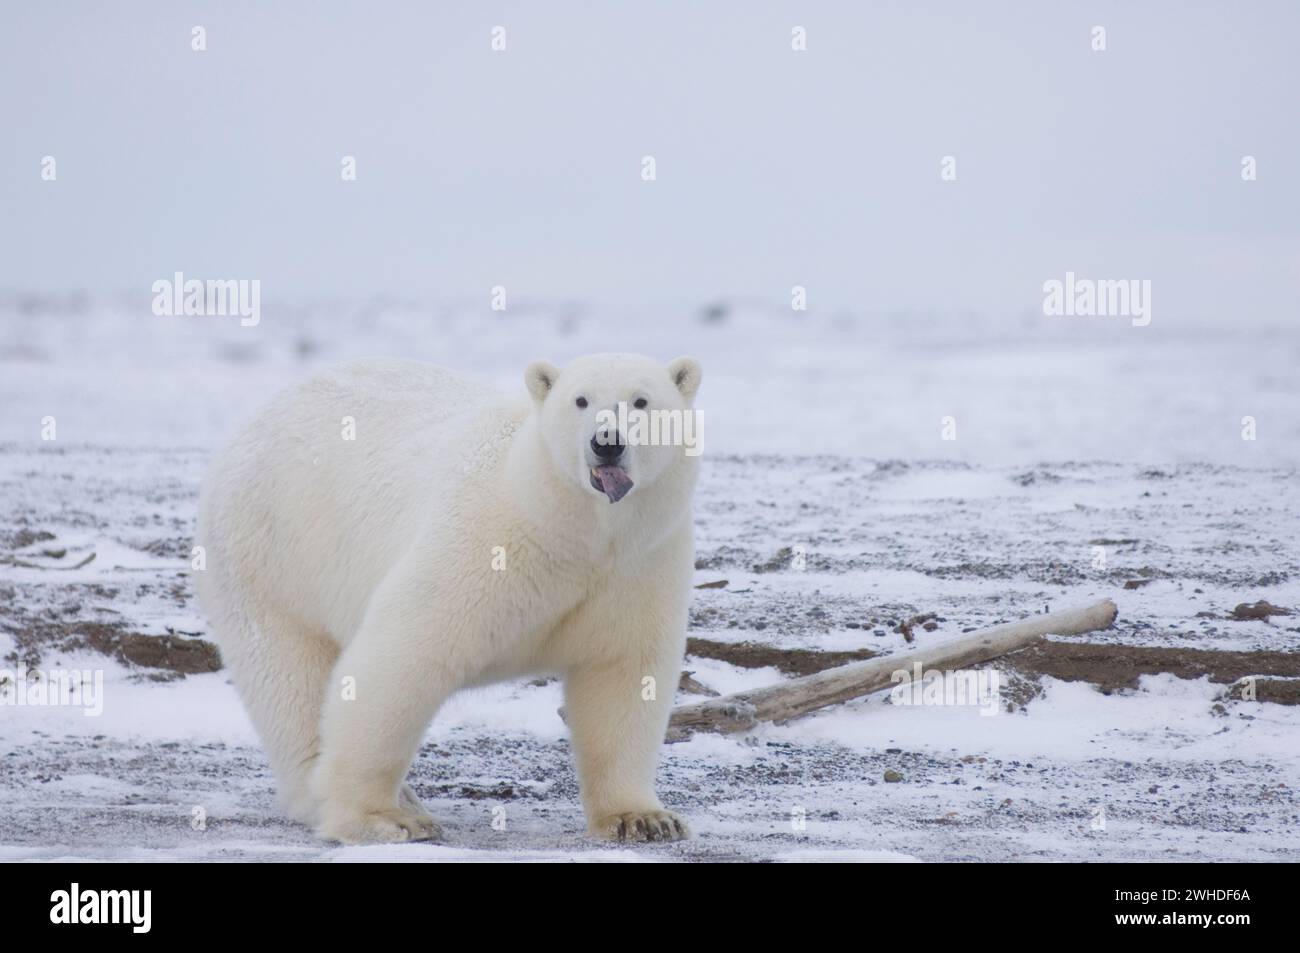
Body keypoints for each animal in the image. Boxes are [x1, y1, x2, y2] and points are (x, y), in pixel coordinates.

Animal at [195, 353, 702, 844]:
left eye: (641, 401)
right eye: (580, 400)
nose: (607, 441)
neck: (571, 527)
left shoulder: (639, 564)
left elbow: (623, 674)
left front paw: (642, 818)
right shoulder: (490, 544)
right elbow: (403, 659)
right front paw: (381, 819)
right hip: (274, 553)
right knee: (288, 676)